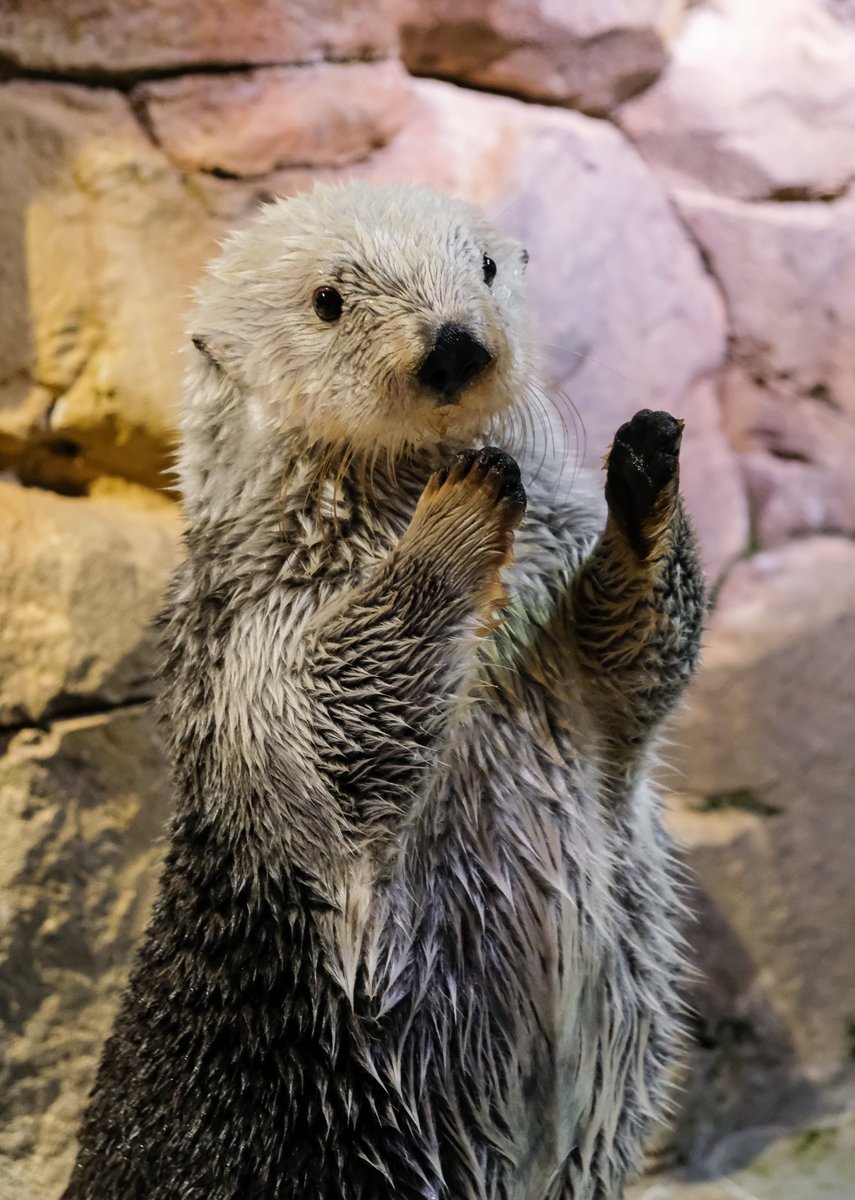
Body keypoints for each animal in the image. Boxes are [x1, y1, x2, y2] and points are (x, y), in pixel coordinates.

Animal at [62, 182, 705, 1200]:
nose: (453, 345)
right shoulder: (258, 651)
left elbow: (639, 654)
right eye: (329, 300)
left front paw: (644, 467)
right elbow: (339, 712)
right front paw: (459, 507)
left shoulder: (574, 651)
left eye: (483, 266)